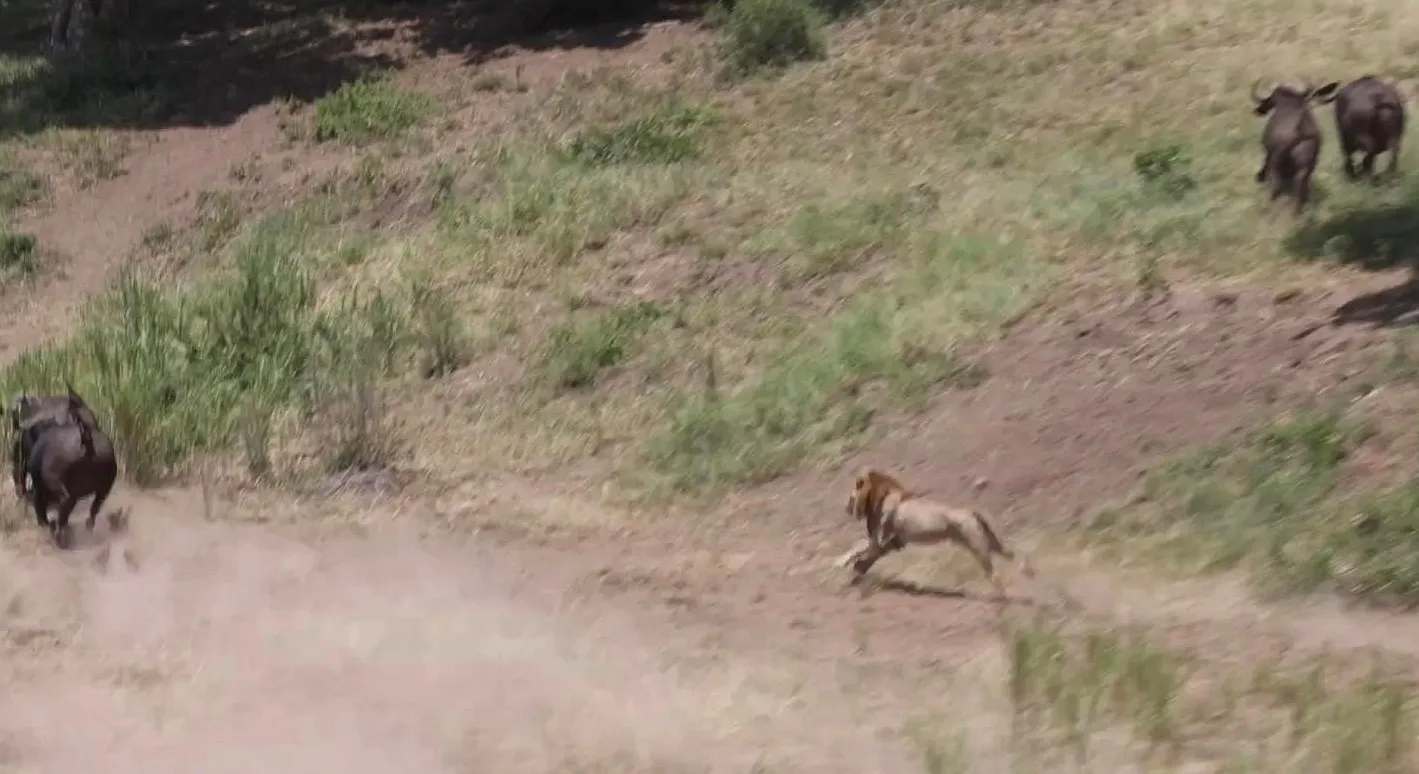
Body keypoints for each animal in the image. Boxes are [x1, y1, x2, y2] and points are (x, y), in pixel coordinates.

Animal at [838, 467, 1034, 596]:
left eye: (851, 497)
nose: (846, 507)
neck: (882, 495)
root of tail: (970, 511)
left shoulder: (879, 539)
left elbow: (859, 548)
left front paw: (842, 563)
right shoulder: (890, 542)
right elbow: (862, 555)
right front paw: (851, 567)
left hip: (979, 548)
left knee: (995, 576)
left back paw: (1005, 599)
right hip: (990, 542)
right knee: (1013, 554)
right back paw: (1028, 572)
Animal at [1251, 79, 1340, 214]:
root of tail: (1299, 130)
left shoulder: (1268, 153)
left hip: (1277, 165)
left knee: (1277, 187)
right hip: (1305, 169)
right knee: (1301, 190)